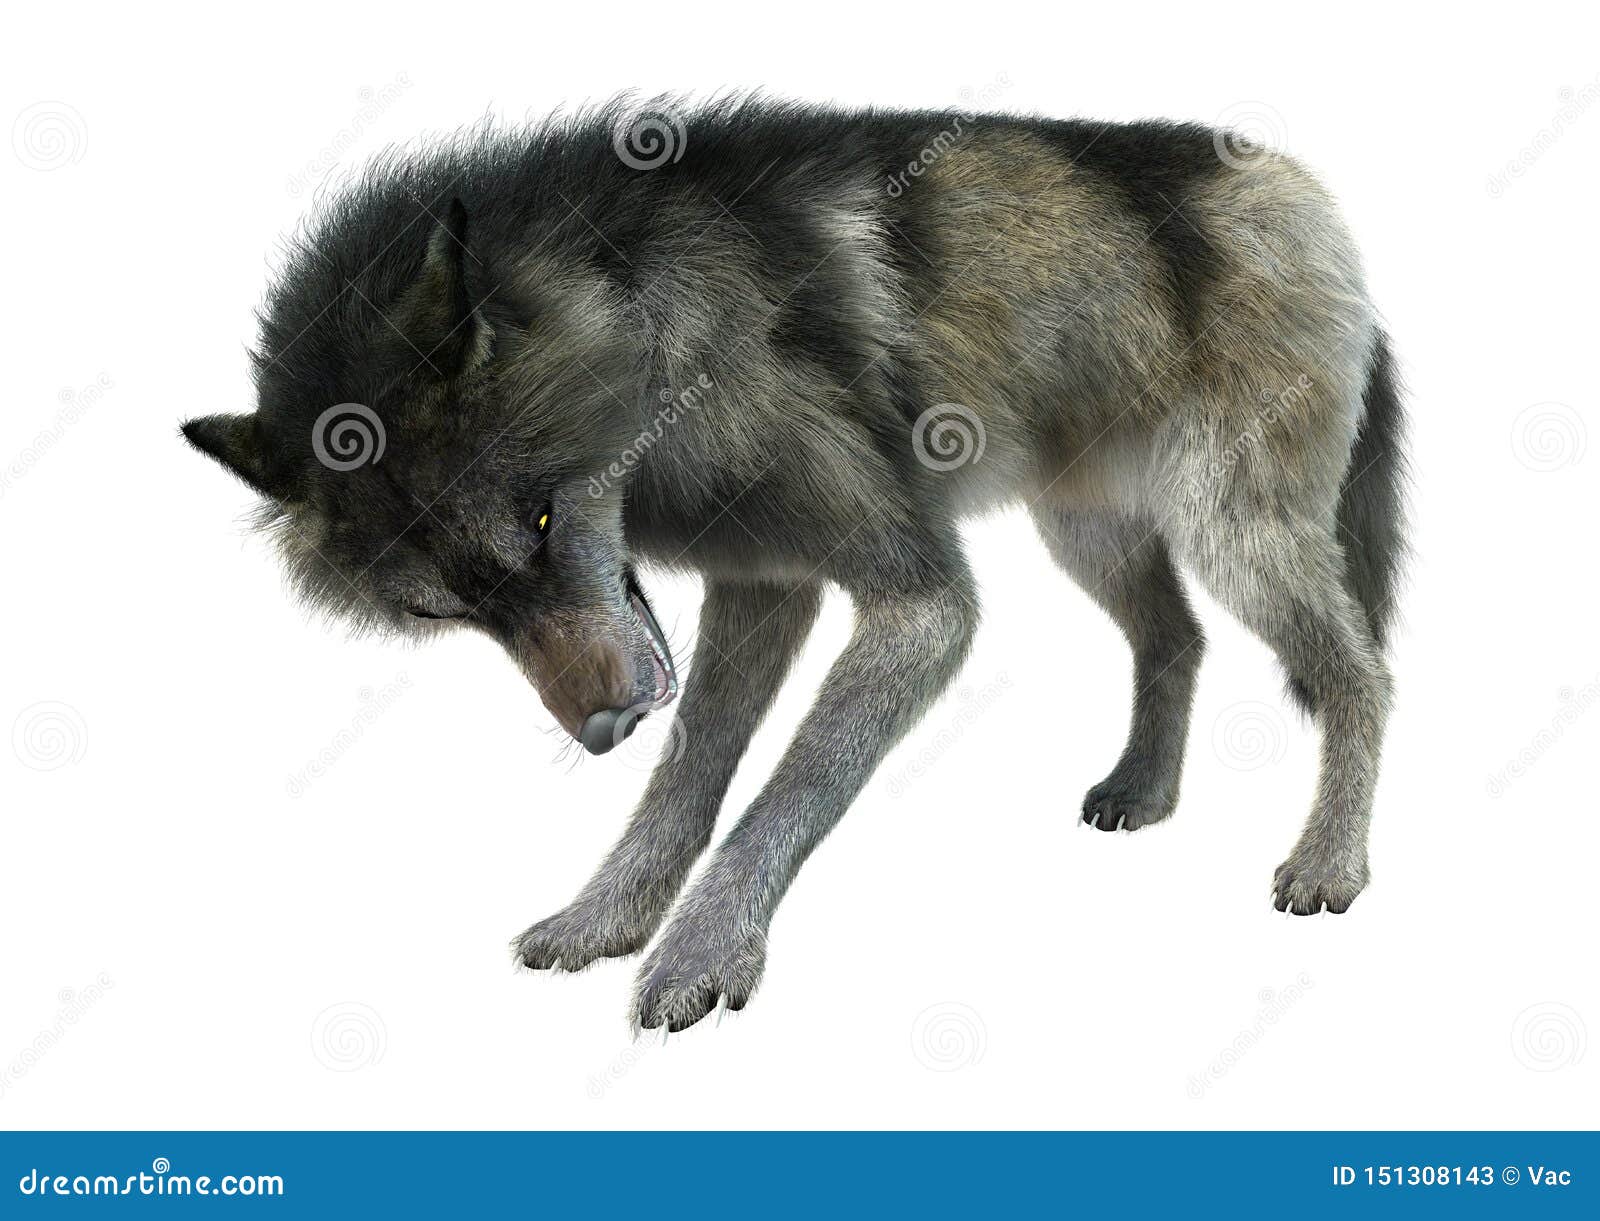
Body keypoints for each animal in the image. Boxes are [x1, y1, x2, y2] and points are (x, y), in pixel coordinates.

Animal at [181, 98, 1406, 1032]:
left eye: (540, 518)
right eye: (444, 612)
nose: (602, 728)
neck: (651, 328)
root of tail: (1307, 197)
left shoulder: (915, 602)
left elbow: (791, 787)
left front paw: (696, 961)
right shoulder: (760, 589)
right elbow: (686, 783)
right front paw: (604, 923)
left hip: (1230, 534)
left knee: (1362, 672)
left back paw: (1330, 867)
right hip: (1089, 533)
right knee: (1178, 638)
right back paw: (1141, 795)